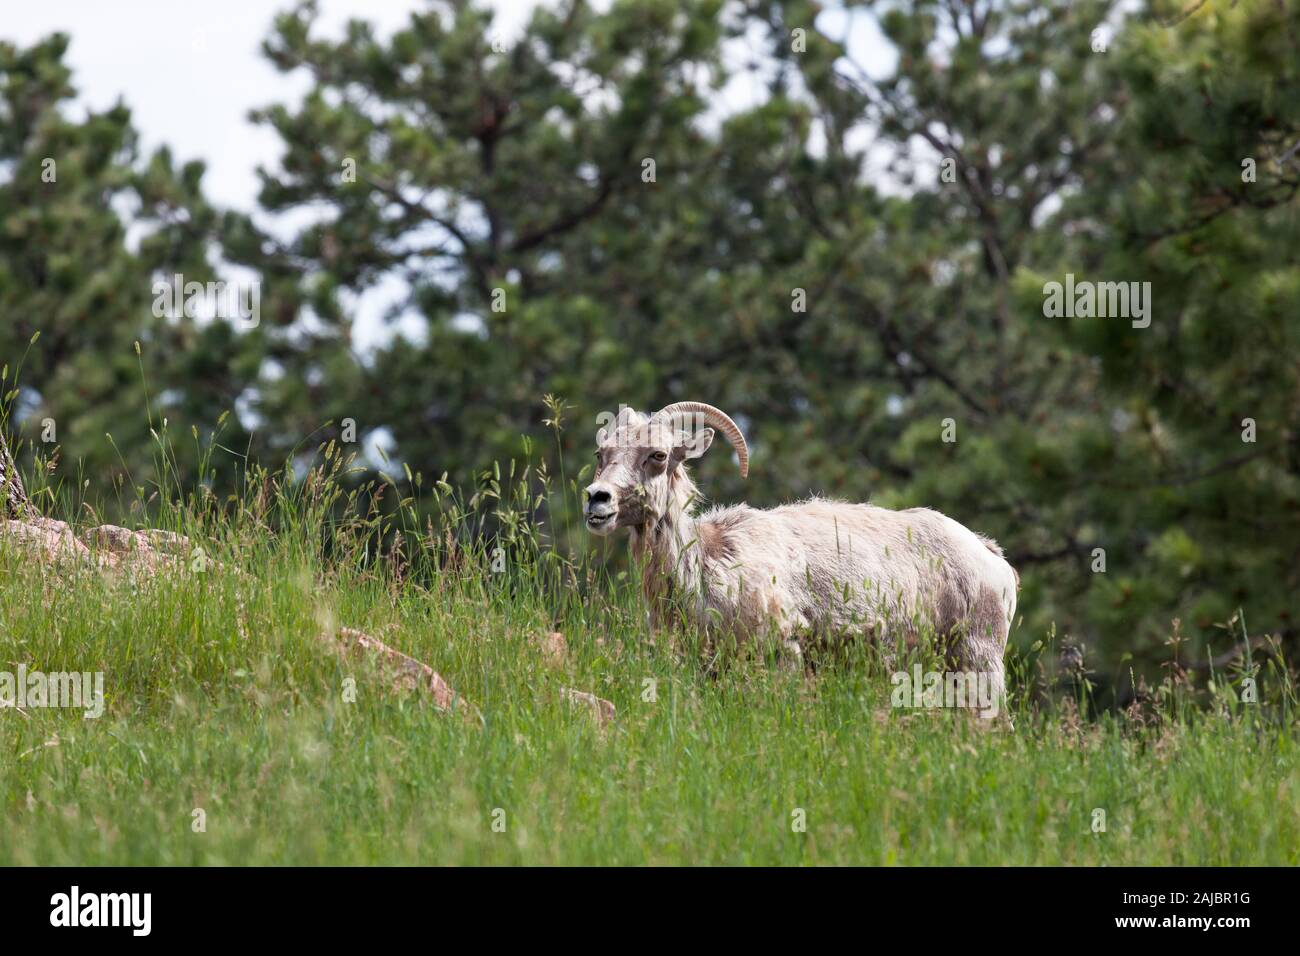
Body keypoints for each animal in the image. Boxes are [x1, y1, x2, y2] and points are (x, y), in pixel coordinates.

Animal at [583, 402, 1019, 708]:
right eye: (601, 454)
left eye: (658, 455)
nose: (597, 499)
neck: (707, 567)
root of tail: (994, 560)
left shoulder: (781, 654)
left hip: (980, 659)